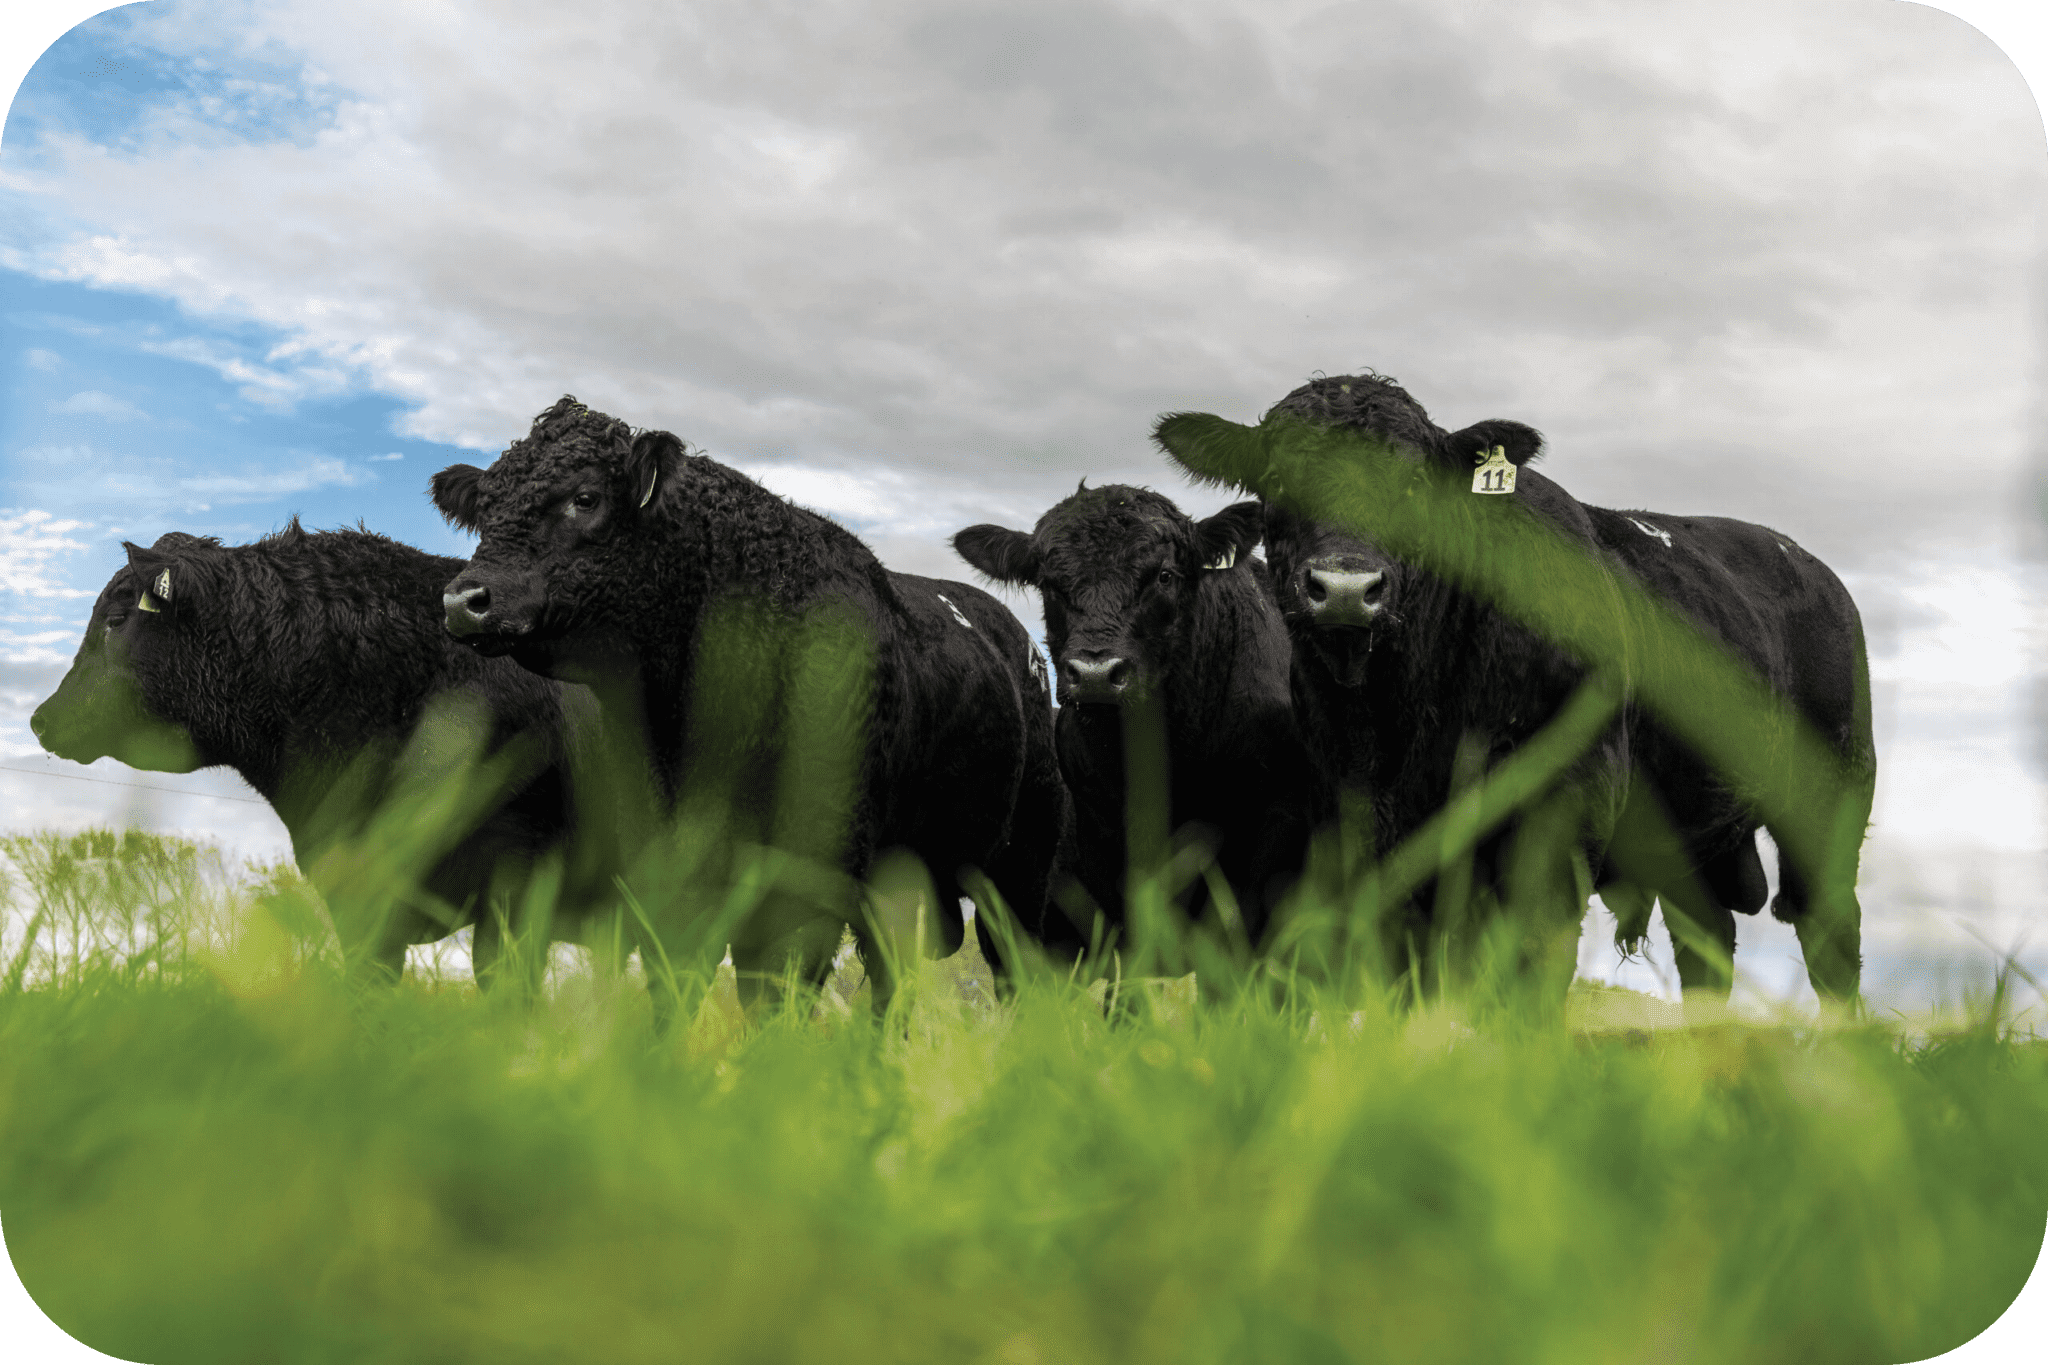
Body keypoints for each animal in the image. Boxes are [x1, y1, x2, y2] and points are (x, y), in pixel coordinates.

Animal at [429, 396, 1069, 1020]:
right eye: (485, 507)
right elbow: (675, 985)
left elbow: (777, 995)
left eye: (584, 498)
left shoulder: (811, 872)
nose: (465, 600)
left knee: (1011, 974)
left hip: (1022, 867)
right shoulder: (670, 869)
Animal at [1152, 372, 1872, 1006]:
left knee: (1828, 936)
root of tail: (1802, 559)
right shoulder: (1360, 827)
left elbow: (1526, 977)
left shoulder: (1560, 820)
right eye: (1277, 481)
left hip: (1829, 803)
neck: (1400, 719)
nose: (1347, 587)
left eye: (1415, 483)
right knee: (1708, 943)